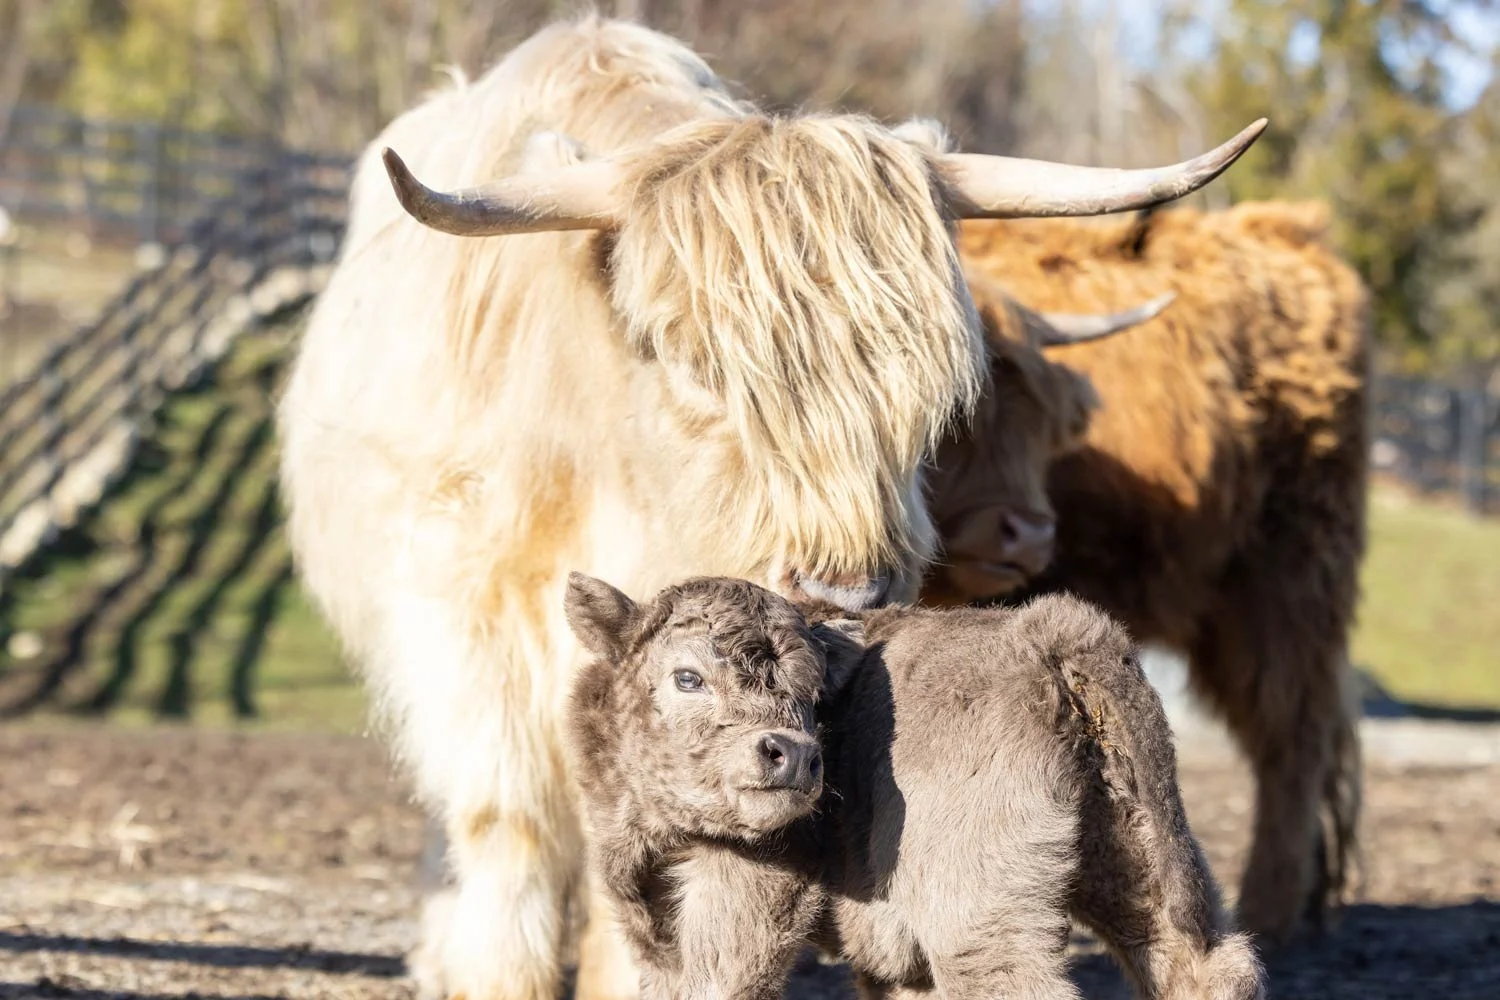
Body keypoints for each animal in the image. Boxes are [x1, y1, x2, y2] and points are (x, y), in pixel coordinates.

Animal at [563, 572, 1266, 1000]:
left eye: (812, 695)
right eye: (687, 678)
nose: (794, 756)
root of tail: (1043, 632)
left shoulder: (745, 900)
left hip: (974, 915)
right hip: (1136, 856)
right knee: (1201, 963)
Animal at [926, 201, 1370, 947]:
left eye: (1044, 425)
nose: (1031, 532)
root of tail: (1293, 234)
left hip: (1289, 575)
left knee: (1292, 731)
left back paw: (1268, 909)